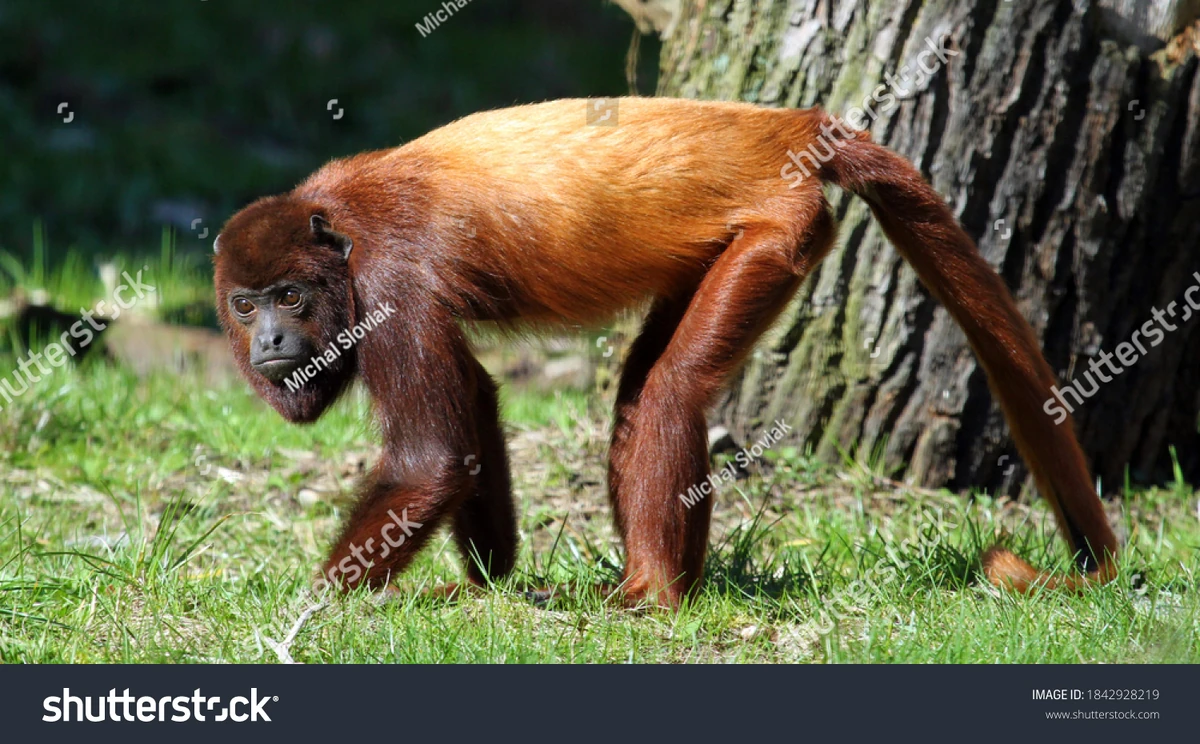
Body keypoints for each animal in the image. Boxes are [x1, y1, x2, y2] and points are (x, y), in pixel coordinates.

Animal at [212, 97, 1118, 608]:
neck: (337, 230)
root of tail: (789, 127)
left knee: (672, 390)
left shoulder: (391, 280)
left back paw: (652, 596)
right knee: (639, 394)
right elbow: (472, 407)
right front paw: (491, 586)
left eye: (291, 297)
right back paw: (648, 583)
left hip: (779, 230)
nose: (267, 341)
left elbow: (431, 456)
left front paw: (307, 613)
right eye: (244, 304)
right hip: (731, 243)